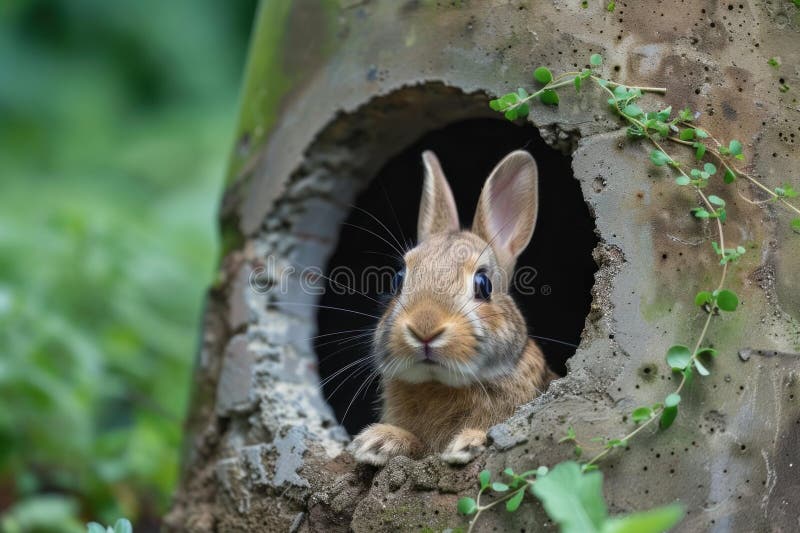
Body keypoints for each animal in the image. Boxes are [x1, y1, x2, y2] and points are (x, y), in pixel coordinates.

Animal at [349, 149, 558, 466]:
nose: (424, 328)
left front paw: (467, 443)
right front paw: (377, 442)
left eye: (483, 284)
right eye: (398, 279)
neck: (439, 383)